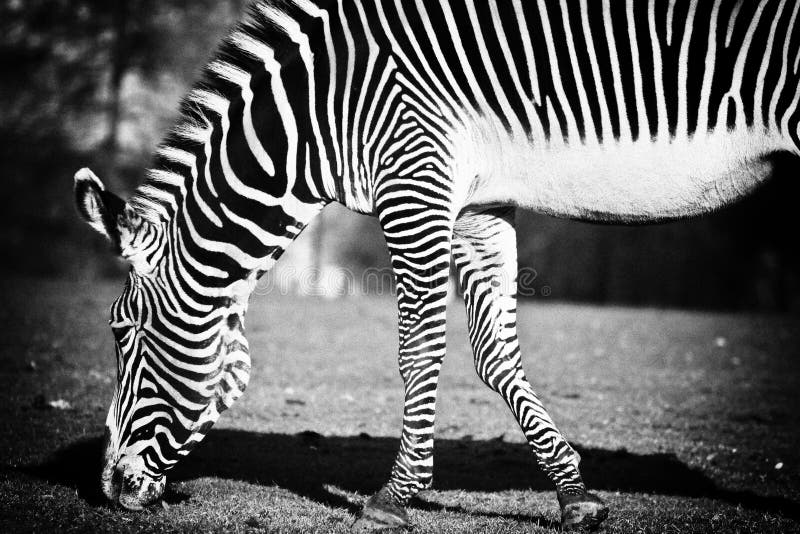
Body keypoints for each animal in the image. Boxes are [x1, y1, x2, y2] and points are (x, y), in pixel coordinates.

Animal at [73, 0, 799, 530]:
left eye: (120, 329)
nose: (107, 488)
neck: (317, 115)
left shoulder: (413, 178)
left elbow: (419, 345)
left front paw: (396, 497)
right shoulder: (478, 199)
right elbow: (494, 352)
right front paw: (573, 494)